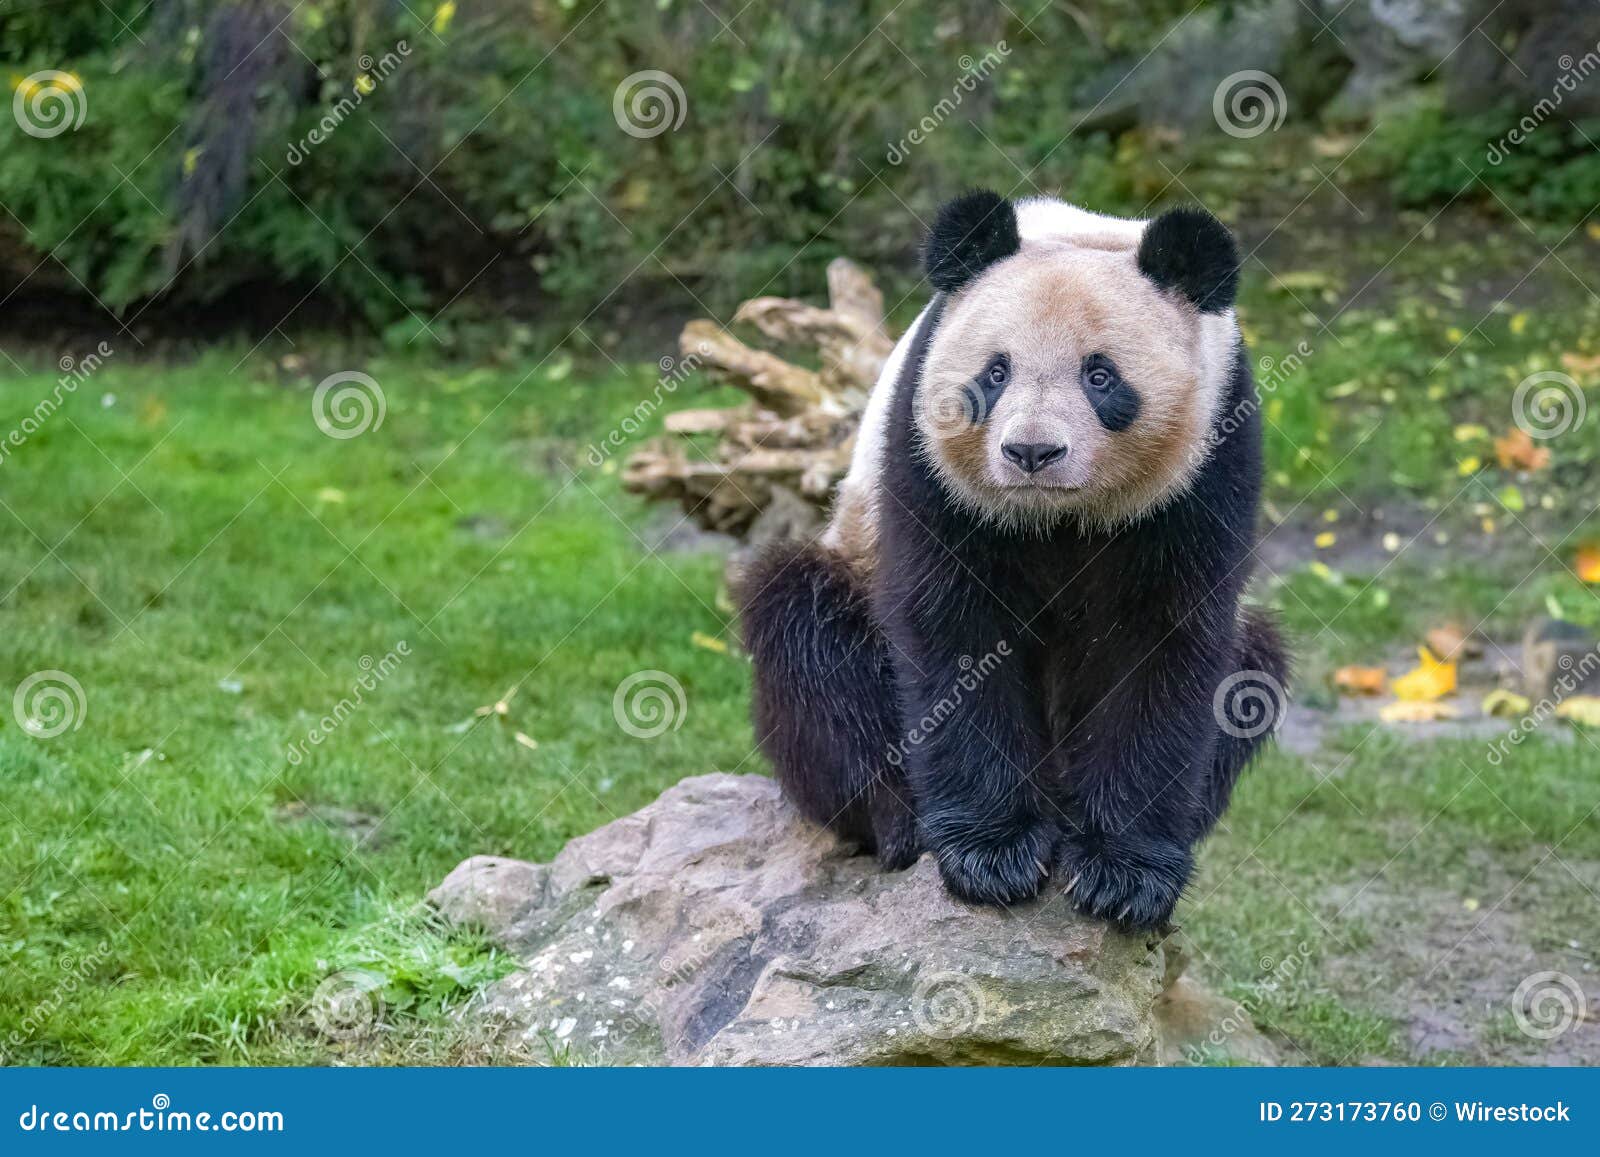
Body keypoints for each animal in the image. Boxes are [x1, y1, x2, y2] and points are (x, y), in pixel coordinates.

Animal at [738, 190, 1288, 931]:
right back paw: (901, 822)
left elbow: (1168, 643)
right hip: (848, 562)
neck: (1056, 516)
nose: (1032, 452)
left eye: (1101, 375)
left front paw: (1123, 875)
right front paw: (992, 855)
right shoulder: (926, 455)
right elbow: (954, 628)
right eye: (995, 373)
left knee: (1254, 664)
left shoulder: (1213, 457)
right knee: (806, 632)